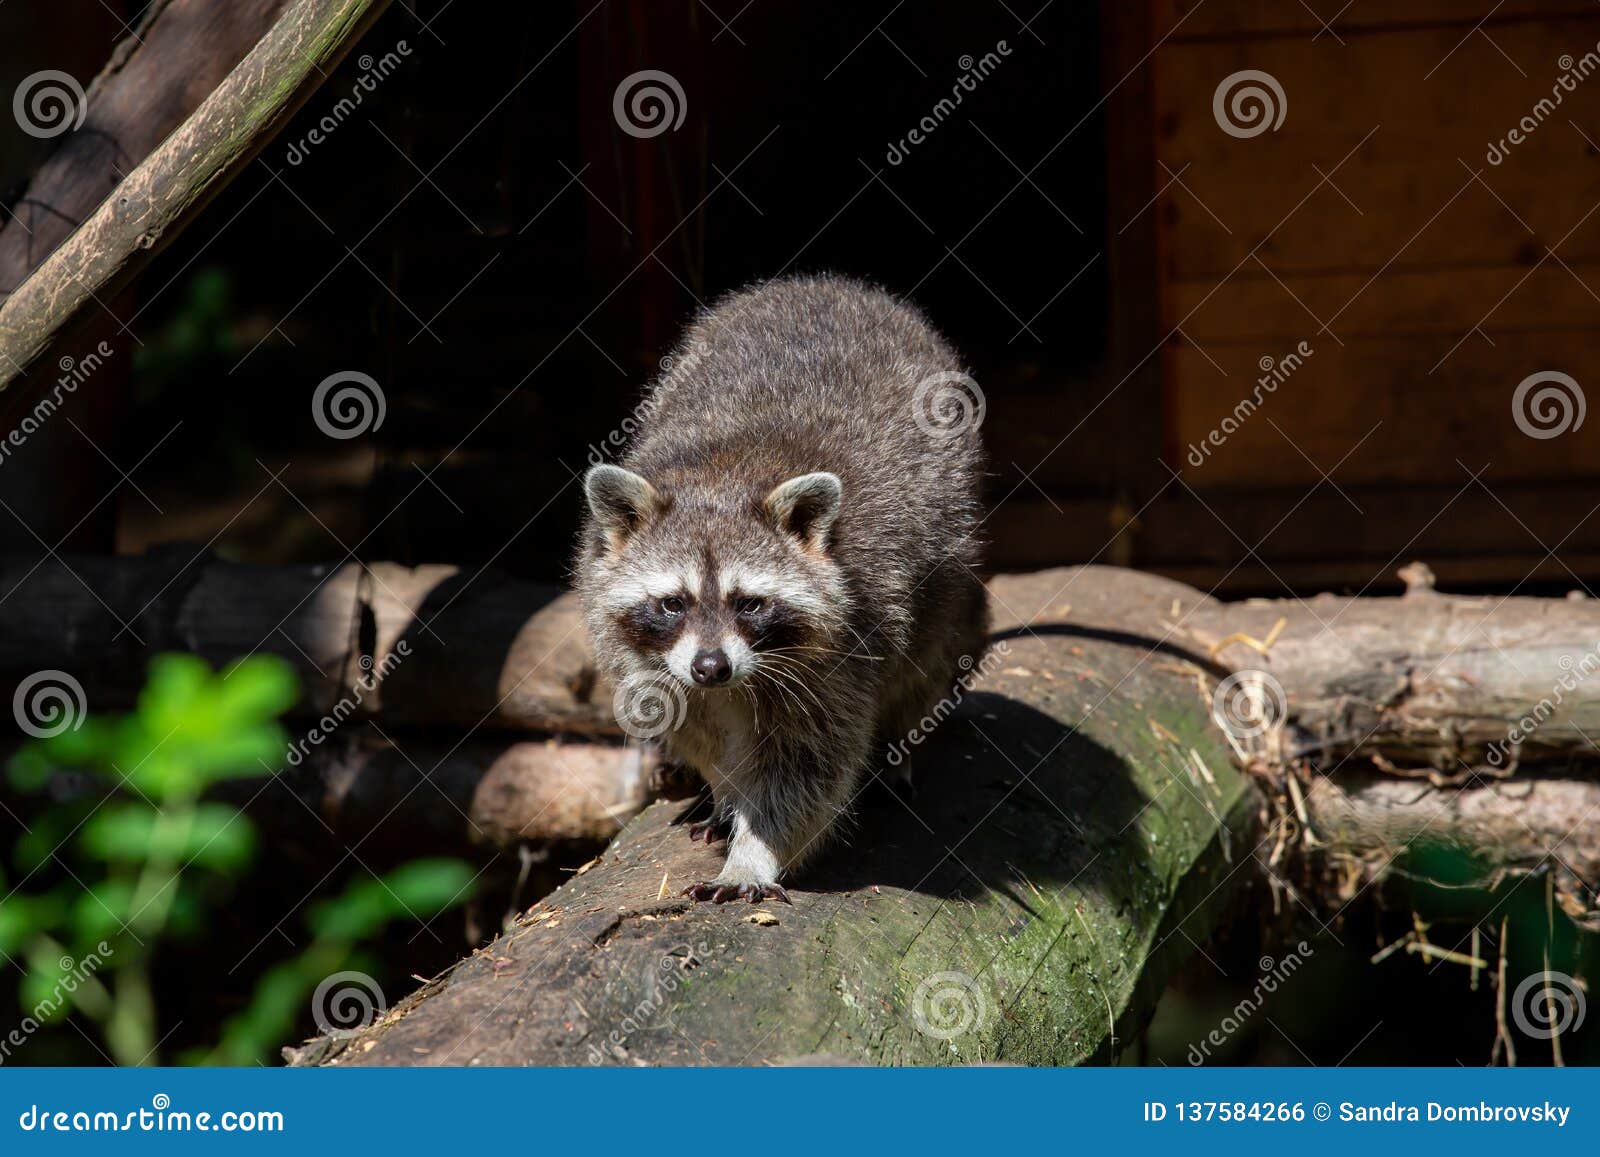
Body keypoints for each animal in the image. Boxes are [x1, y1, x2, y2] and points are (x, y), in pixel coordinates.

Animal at [577, 274, 987, 903]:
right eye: (672, 603)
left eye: (750, 603)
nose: (711, 667)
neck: (723, 474)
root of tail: (827, 282)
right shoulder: (637, 647)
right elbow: (686, 719)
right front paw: (724, 791)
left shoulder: (848, 638)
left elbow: (808, 764)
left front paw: (755, 852)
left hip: (949, 551)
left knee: (927, 655)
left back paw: (901, 742)